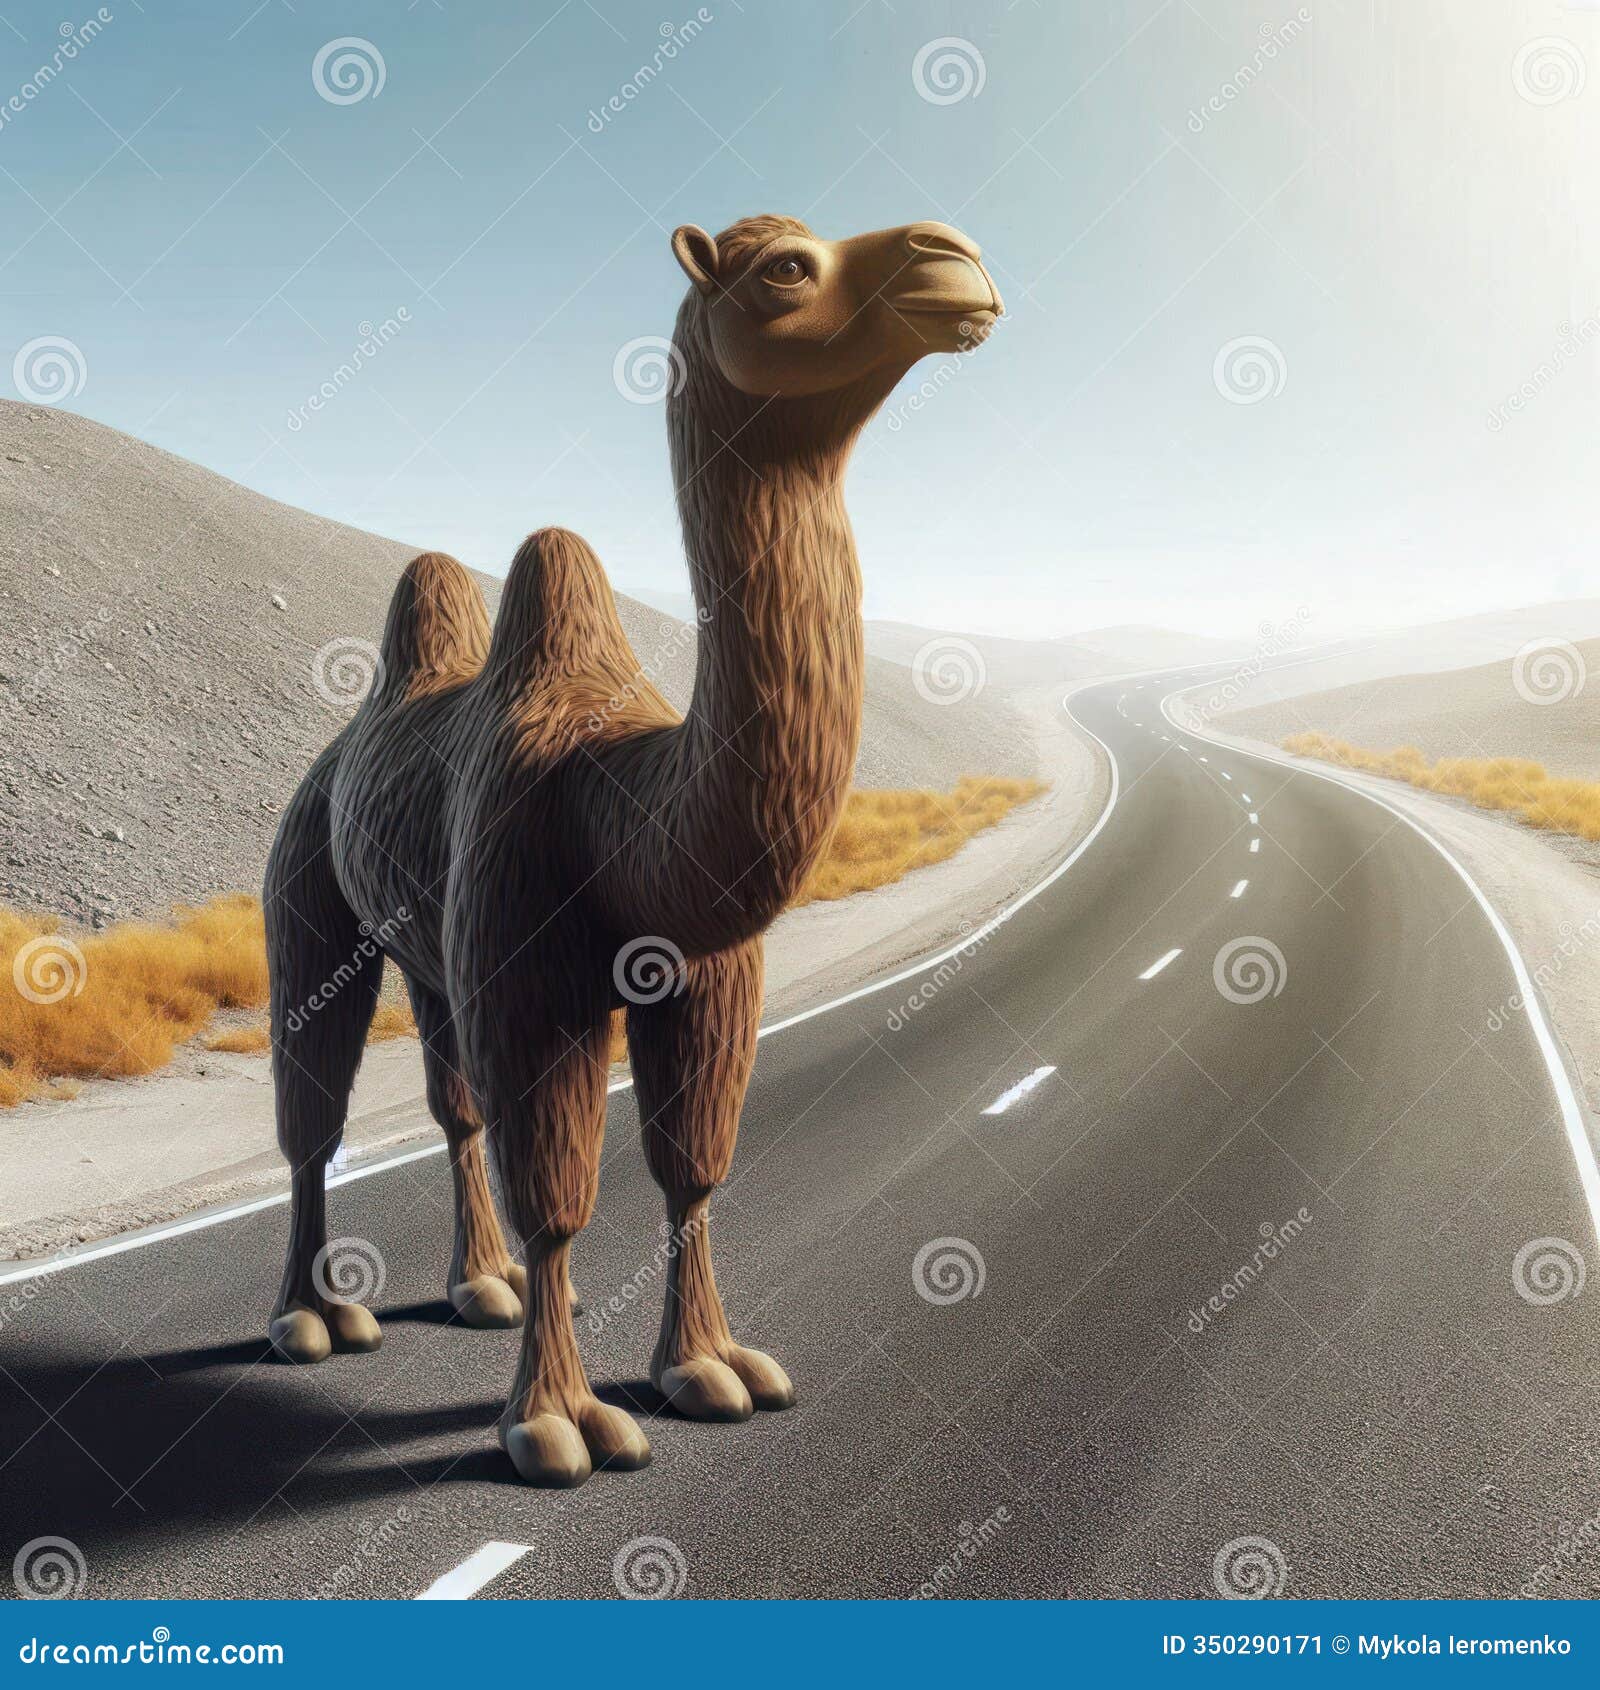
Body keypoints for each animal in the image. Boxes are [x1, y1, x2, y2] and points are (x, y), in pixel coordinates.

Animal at [263, 212, 1003, 1485]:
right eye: (786, 267)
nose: (951, 257)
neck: (615, 797)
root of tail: (334, 755)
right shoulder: (531, 970)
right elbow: (562, 1196)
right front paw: (555, 1420)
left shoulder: (707, 975)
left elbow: (692, 1170)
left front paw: (707, 1365)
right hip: (309, 884)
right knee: (311, 1110)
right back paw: (311, 1318)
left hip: (435, 950)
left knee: (452, 1103)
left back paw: (486, 1284)